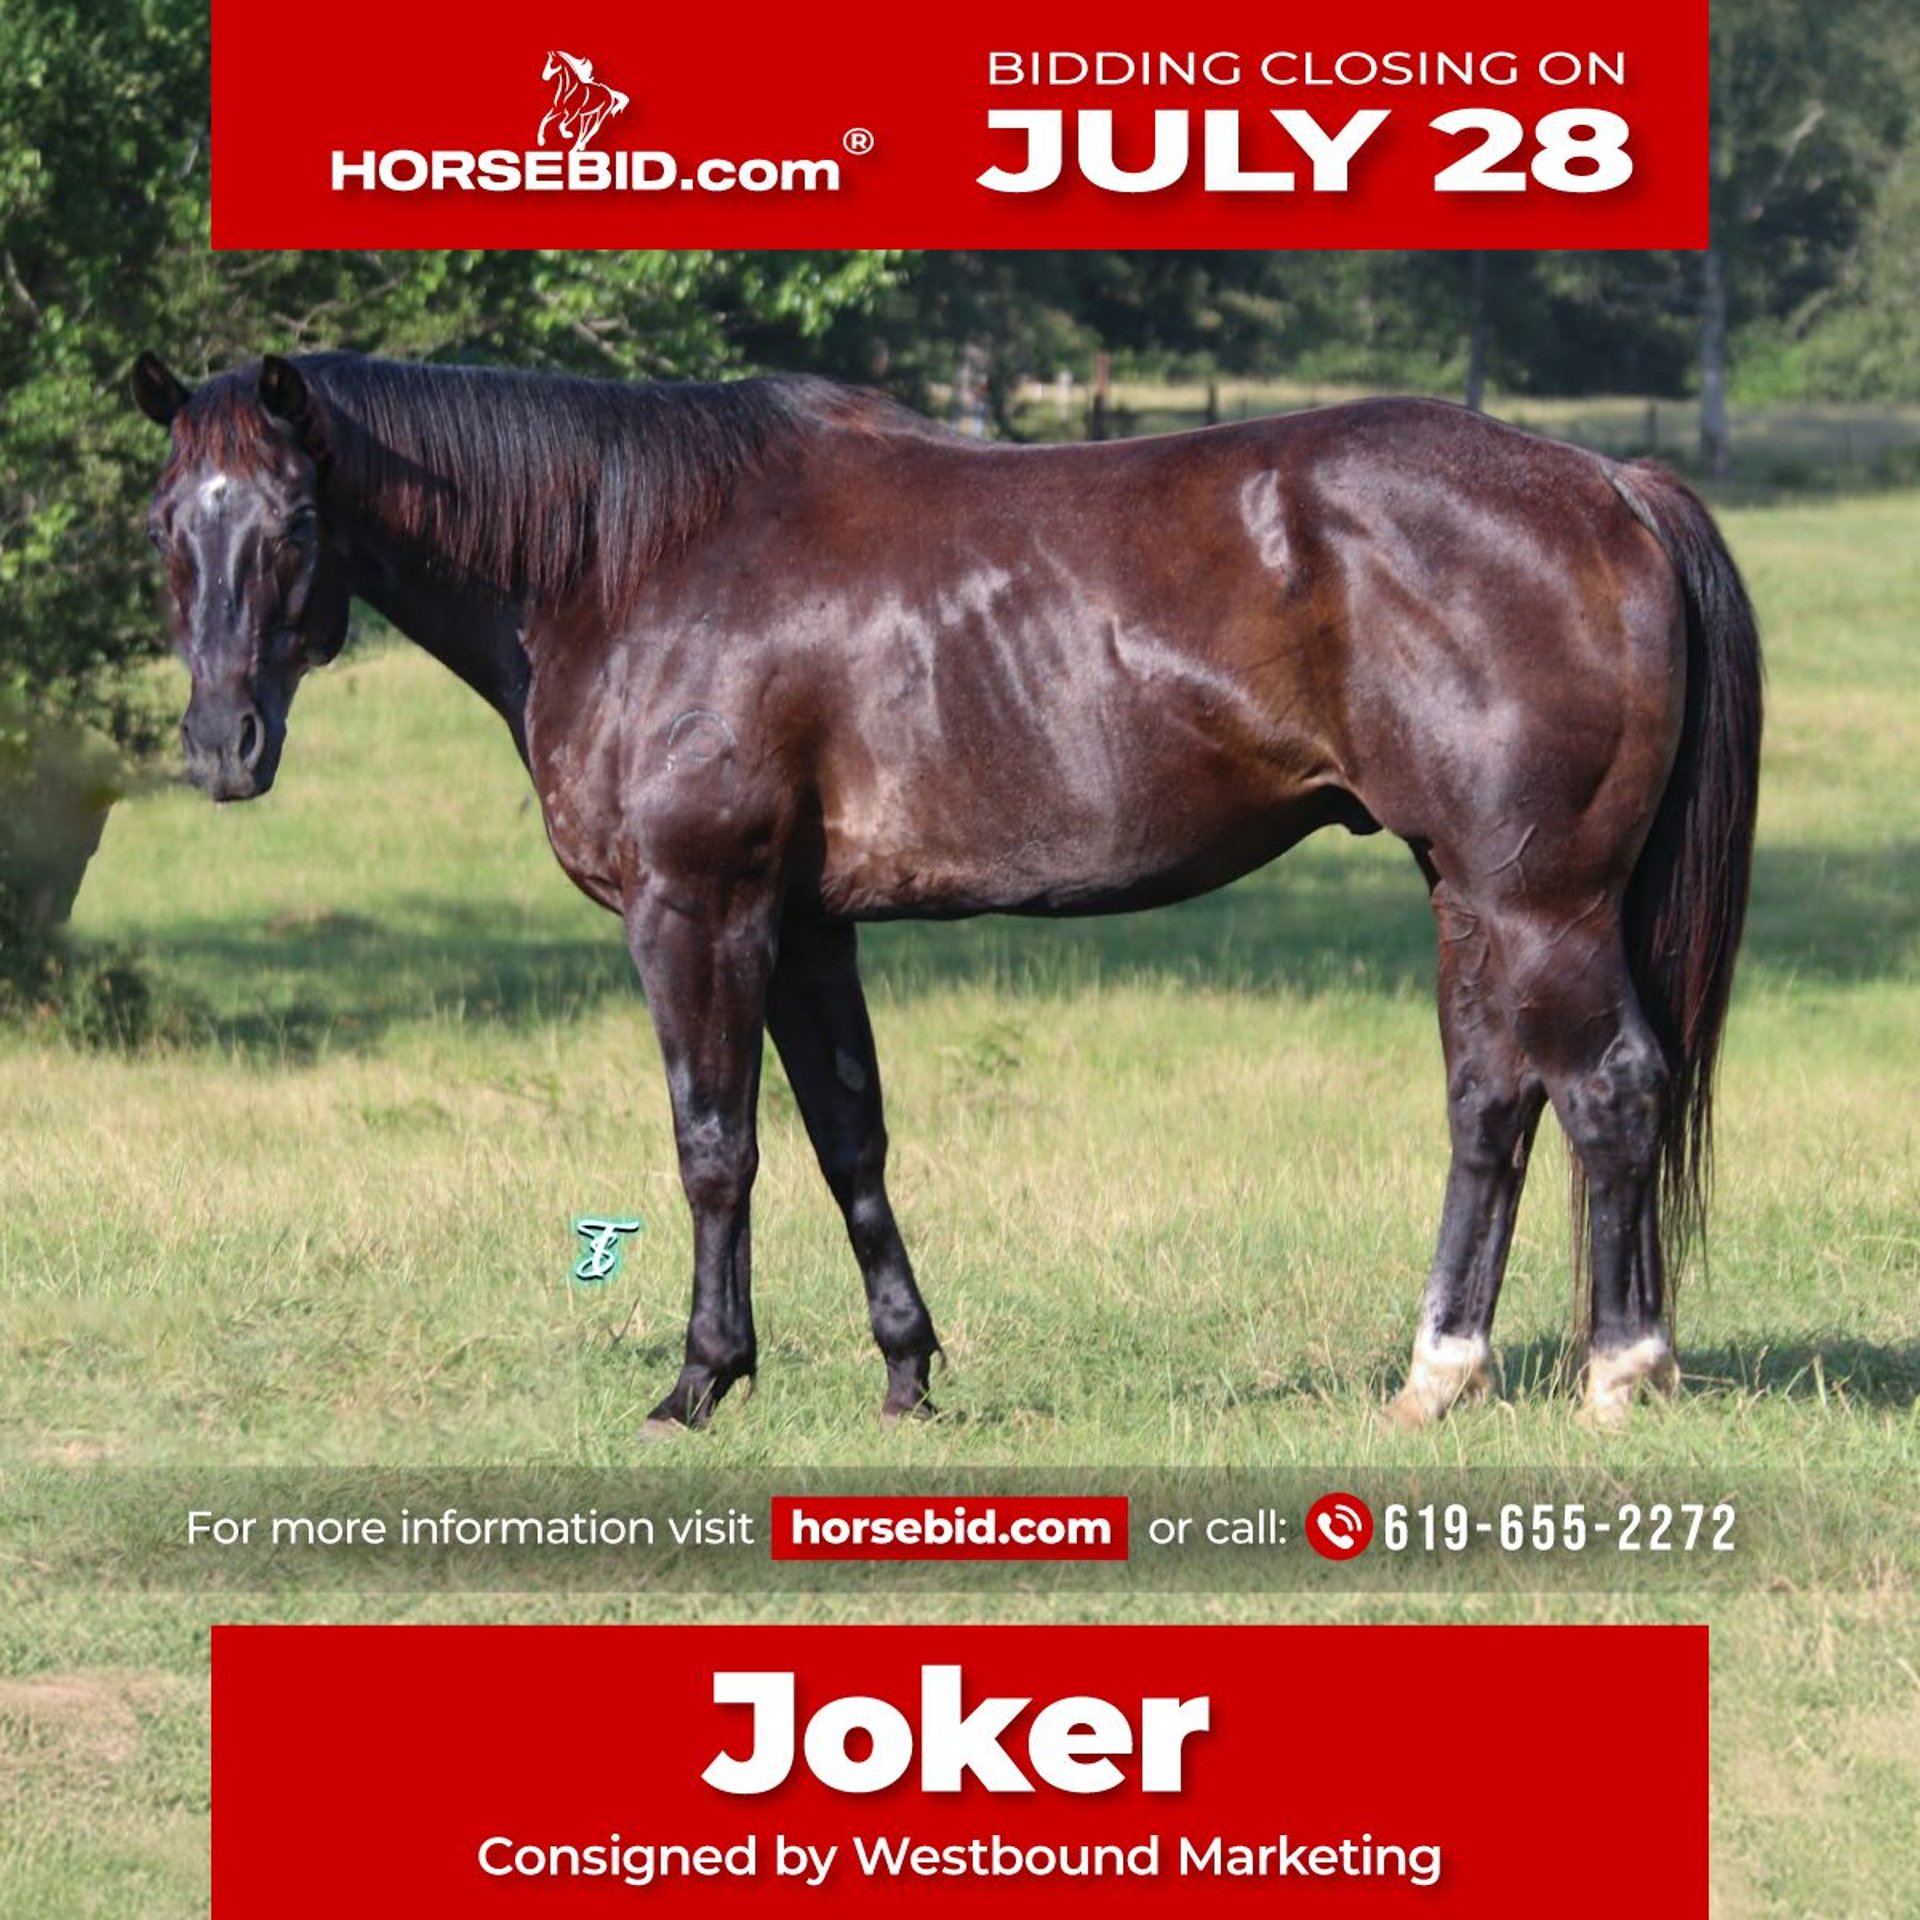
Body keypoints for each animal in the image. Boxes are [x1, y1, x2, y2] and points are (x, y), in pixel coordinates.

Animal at [129, 350, 1761, 1433]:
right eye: (164, 524)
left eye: (287, 523)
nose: (220, 748)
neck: (636, 561)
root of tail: (1607, 485)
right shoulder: (803, 928)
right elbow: (849, 1139)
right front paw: (906, 1374)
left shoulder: (697, 912)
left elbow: (715, 1148)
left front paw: (698, 1383)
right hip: (1467, 894)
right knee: (1492, 1104)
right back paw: (1437, 1376)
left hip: (1539, 900)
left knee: (1607, 1087)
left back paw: (1621, 1376)